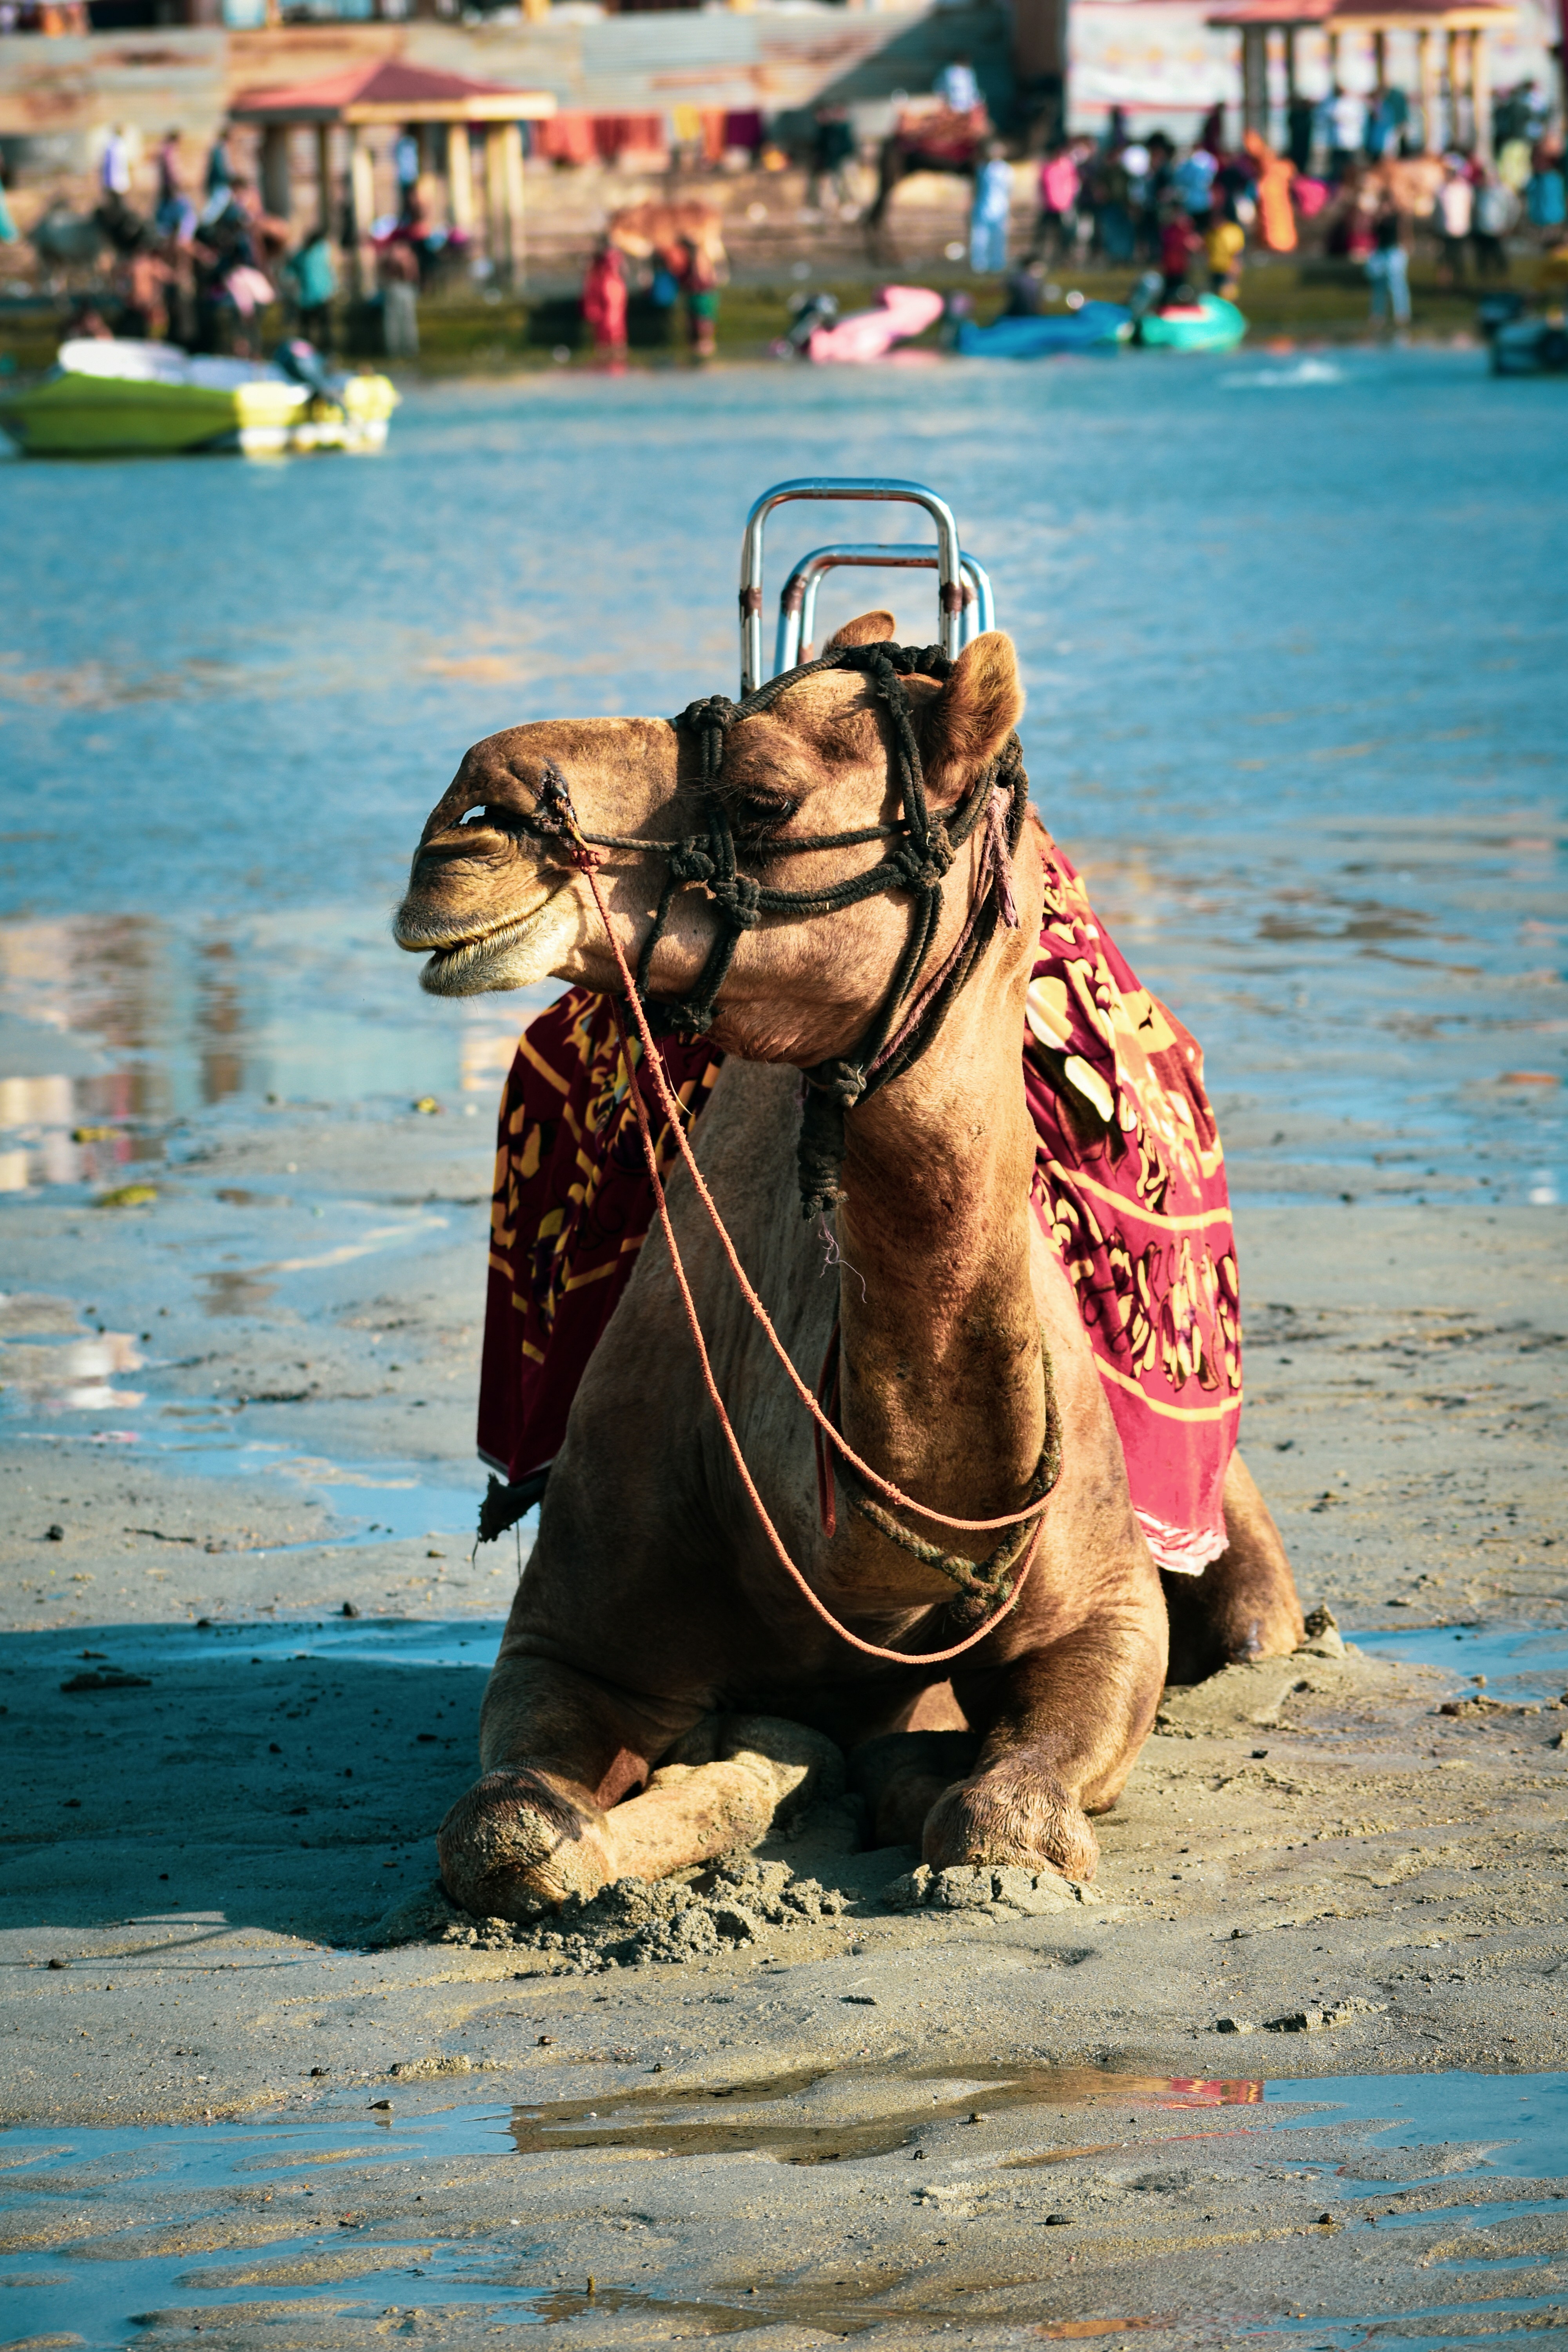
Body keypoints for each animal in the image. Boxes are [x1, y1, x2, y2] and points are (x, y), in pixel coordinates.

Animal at [394, 620, 1304, 1923]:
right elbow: (512, 1828)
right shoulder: (568, 1636)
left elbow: (1004, 1808)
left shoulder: (1112, 1617)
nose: (462, 825)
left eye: (764, 795)